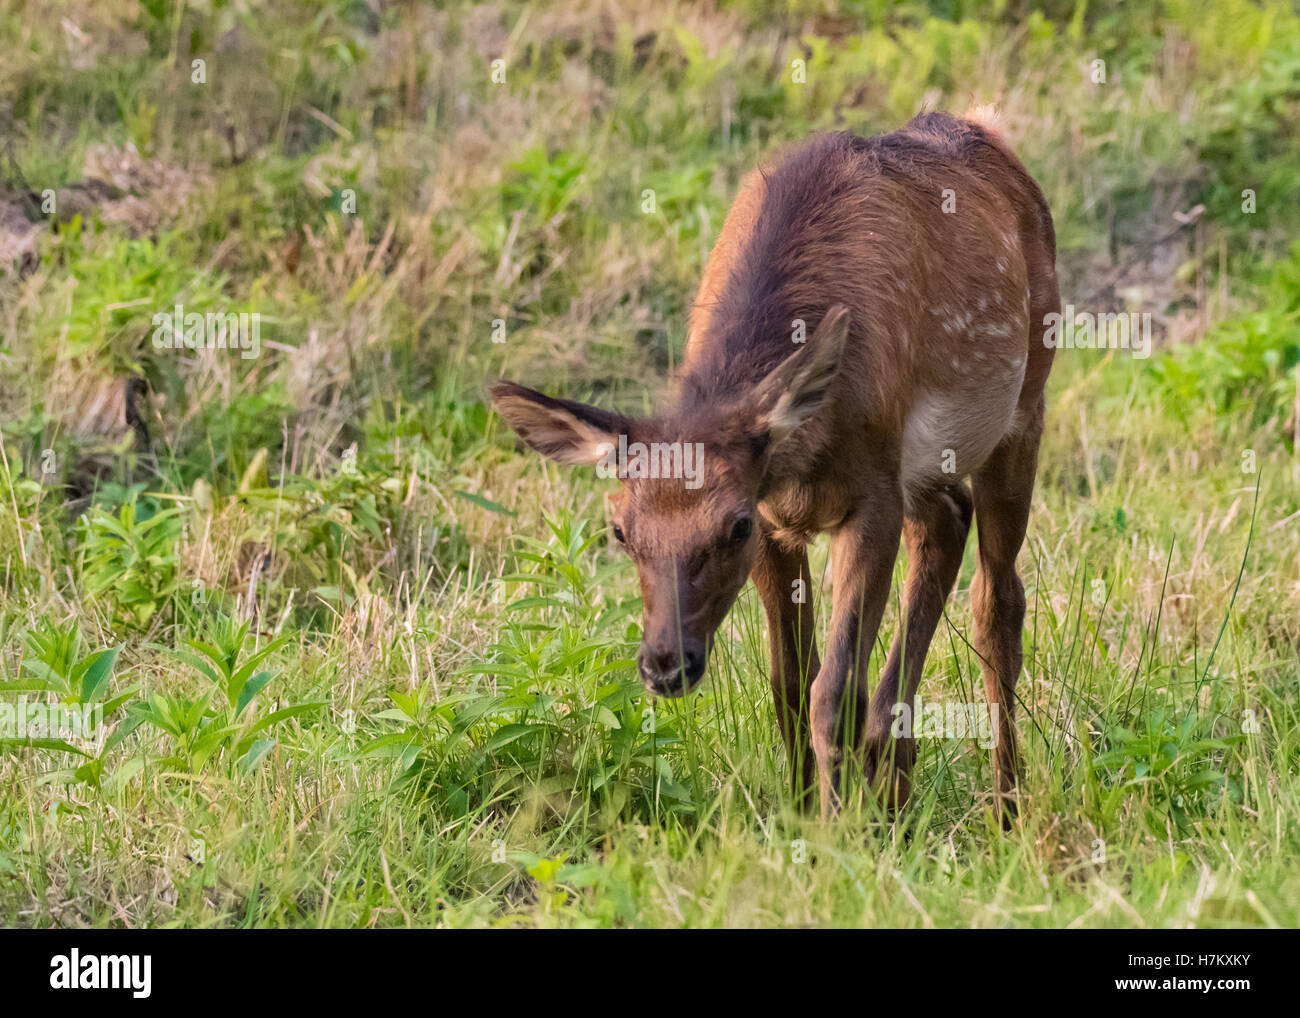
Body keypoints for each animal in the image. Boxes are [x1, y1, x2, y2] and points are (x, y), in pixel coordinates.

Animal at [490, 110, 1059, 824]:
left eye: (730, 526)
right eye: (619, 530)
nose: (665, 665)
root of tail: (988, 132)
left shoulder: (868, 496)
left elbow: (834, 690)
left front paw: (836, 831)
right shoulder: (781, 516)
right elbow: (789, 681)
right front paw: (799, 812)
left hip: (1023, 408)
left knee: (997, 603)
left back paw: (1005, 808)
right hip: (929, 467)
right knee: (948, 523)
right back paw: (894, 790)